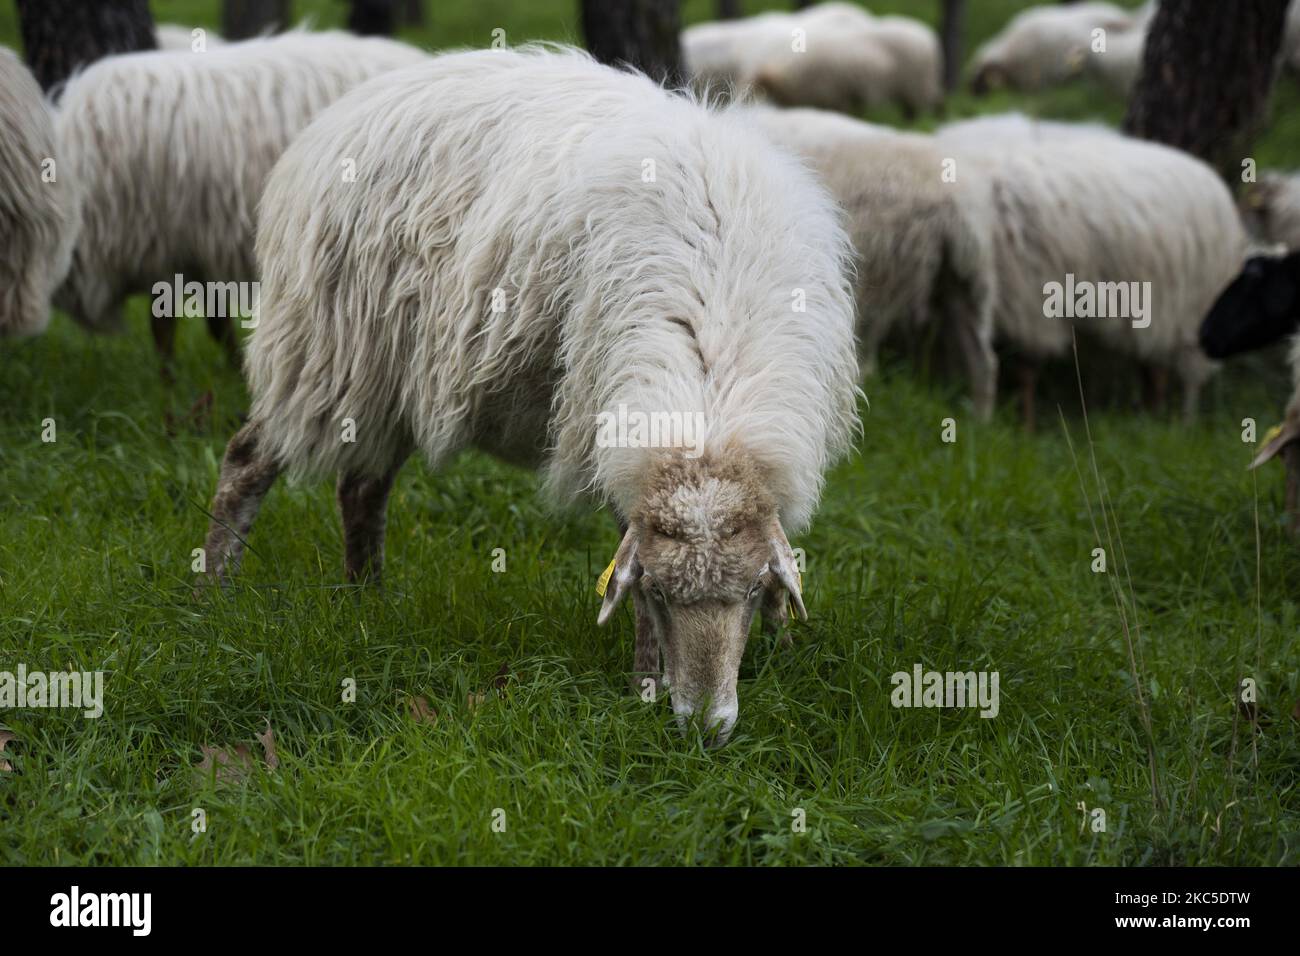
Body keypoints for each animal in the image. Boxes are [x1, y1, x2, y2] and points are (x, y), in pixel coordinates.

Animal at [197, 48, 861, 745]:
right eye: (655, 591)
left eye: (752, 588)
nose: (704, 730)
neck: (712, 360)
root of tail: (341, 114)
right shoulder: (605, 413)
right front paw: (646, 685)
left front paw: (778, 646)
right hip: (331, 351)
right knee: (248, 459)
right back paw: (215, 594)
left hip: (396, 377)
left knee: (362, 487)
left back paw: (367, 600)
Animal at [743, 105, 998, 419]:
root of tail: (953, 209)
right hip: (968, 282)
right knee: (984, 361)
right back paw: (980, 419)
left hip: (880, 275)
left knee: (866, 363)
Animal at [936, 114, 1247, 424]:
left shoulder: (1030, 304)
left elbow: (1026, 370)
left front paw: (1025, 424)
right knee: (1157, 366)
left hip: (1191, 310)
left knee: (1186, 374)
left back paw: (1182, 422)